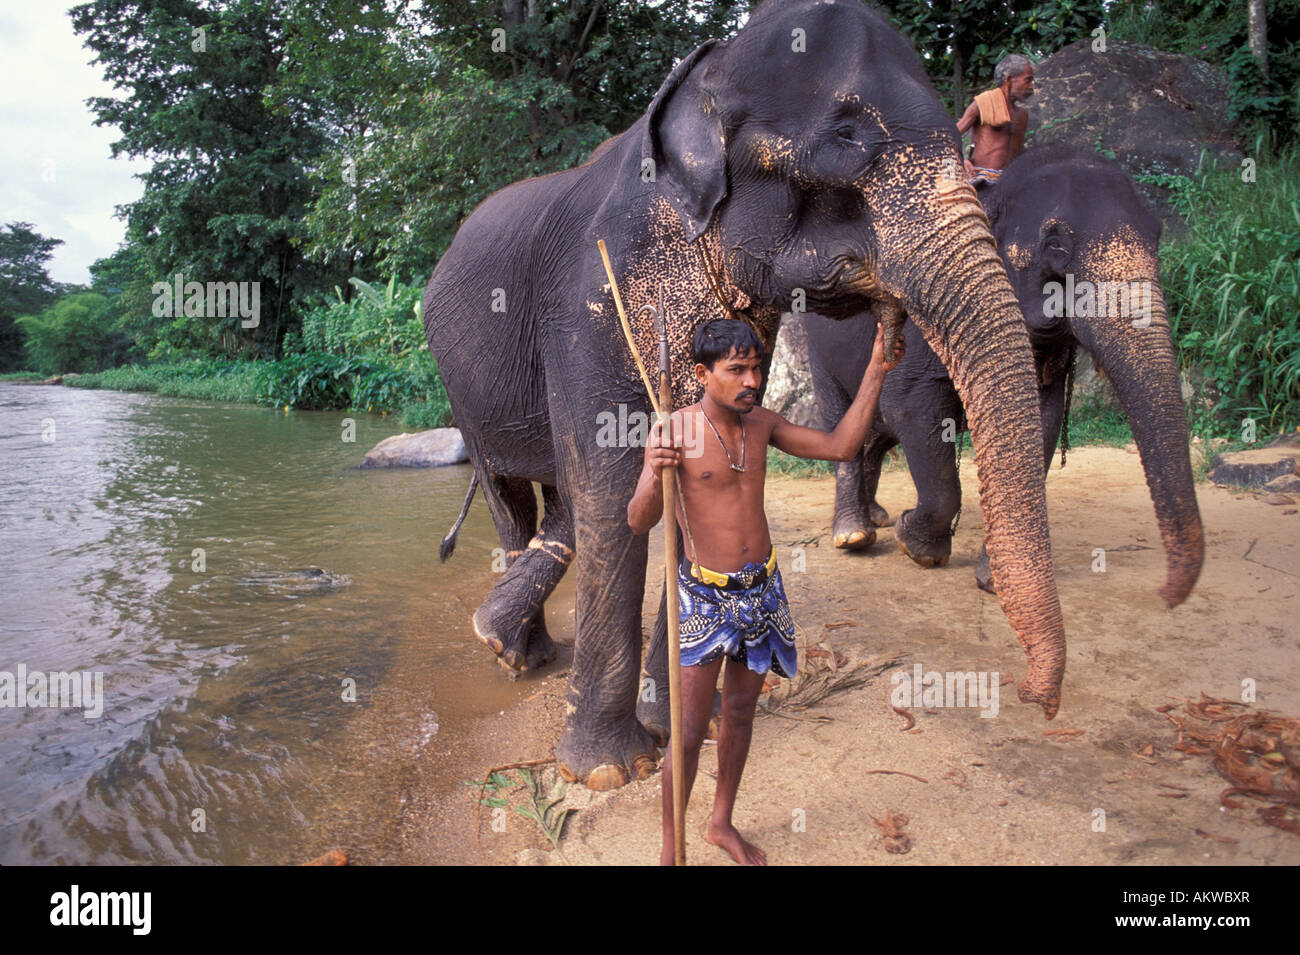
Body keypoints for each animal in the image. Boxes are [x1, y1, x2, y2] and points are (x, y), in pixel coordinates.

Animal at [424, 0, 1070, 790]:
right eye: (847, 141)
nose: (1040, 699)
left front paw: (682, 725)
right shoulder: (592, 300)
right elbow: (613, 489)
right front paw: (611, 770)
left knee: (556, 500)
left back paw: (521, 644)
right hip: (460, 387)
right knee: (514, 496)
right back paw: (514, 653)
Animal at [805, 146, 1204, 607]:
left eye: (1158, 235)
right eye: (1055, 243)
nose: (1166, 595)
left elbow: (1042, 420)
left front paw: (996, 581)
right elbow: (910, 408)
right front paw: (917, 546)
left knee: (875, 436)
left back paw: (877, 518)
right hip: (815, 344)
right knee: (842, 422)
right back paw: (854, 536)